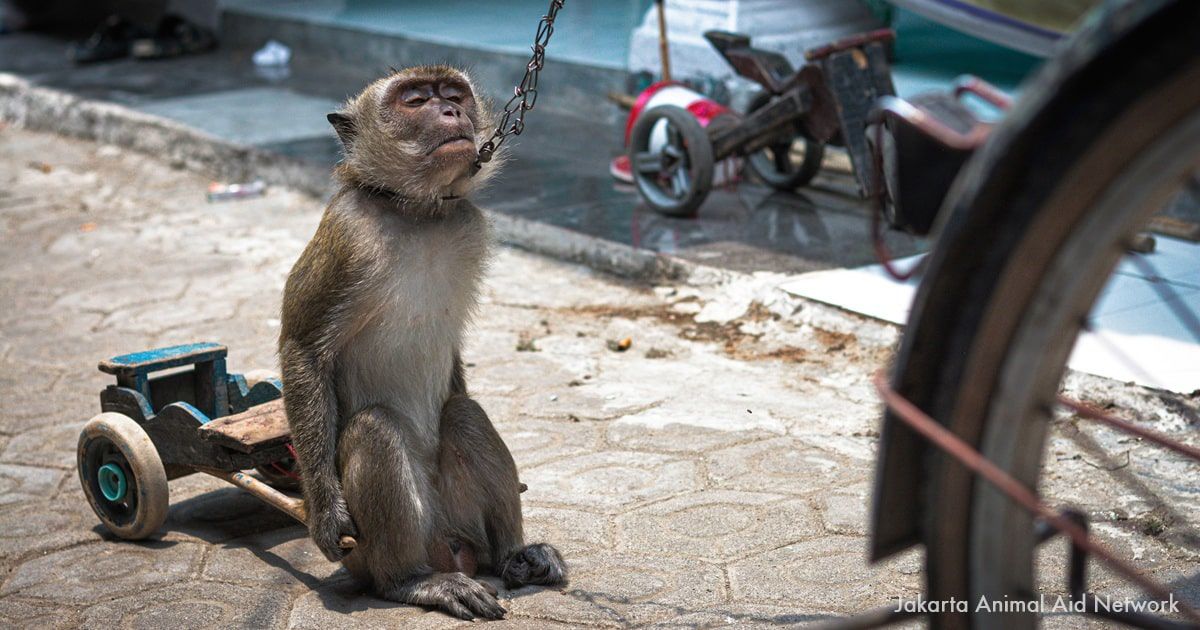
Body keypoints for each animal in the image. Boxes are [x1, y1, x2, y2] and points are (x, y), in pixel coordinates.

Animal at [277, 65, 567, 621]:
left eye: (452, 95)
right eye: (414, 101)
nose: (450, 111)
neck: (417, 211)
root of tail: (447, 546)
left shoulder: (471, 224)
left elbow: (454, 364)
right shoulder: (347, 234)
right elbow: (303, 347)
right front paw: (325, 512)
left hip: (459, 516)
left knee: (463, 413)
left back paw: (513, 556)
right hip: (371, 550)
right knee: (374, 427)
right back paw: (413, 581)